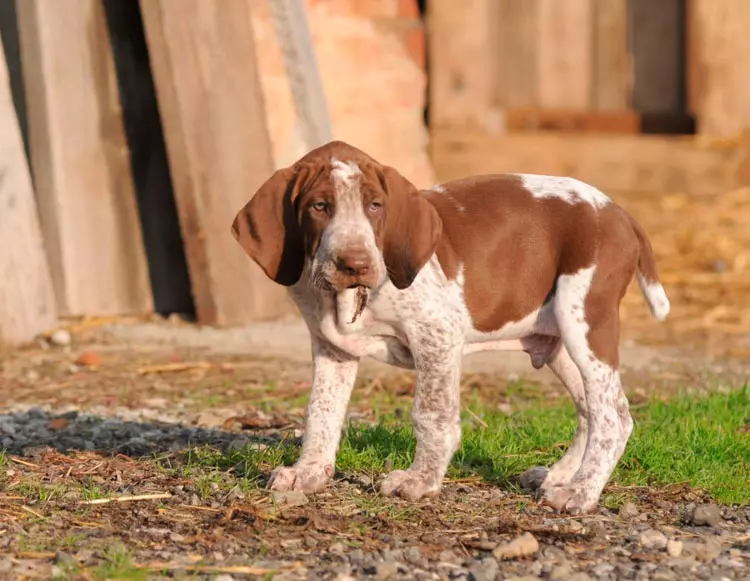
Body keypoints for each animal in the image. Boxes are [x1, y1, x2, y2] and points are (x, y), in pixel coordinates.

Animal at [232, 140, 672, 512]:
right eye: (319, 206)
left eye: (375, 206)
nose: (354, 263)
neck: (348, 297)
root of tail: (618, 212)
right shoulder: (332, 349)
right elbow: (320, 413)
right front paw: (308, 472)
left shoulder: (436, 336)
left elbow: (432, 415)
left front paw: (420, 481)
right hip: (557, 340)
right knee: (588, 412)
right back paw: (560, 476)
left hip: (584, 321)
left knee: (614, 416)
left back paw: (580, 492)